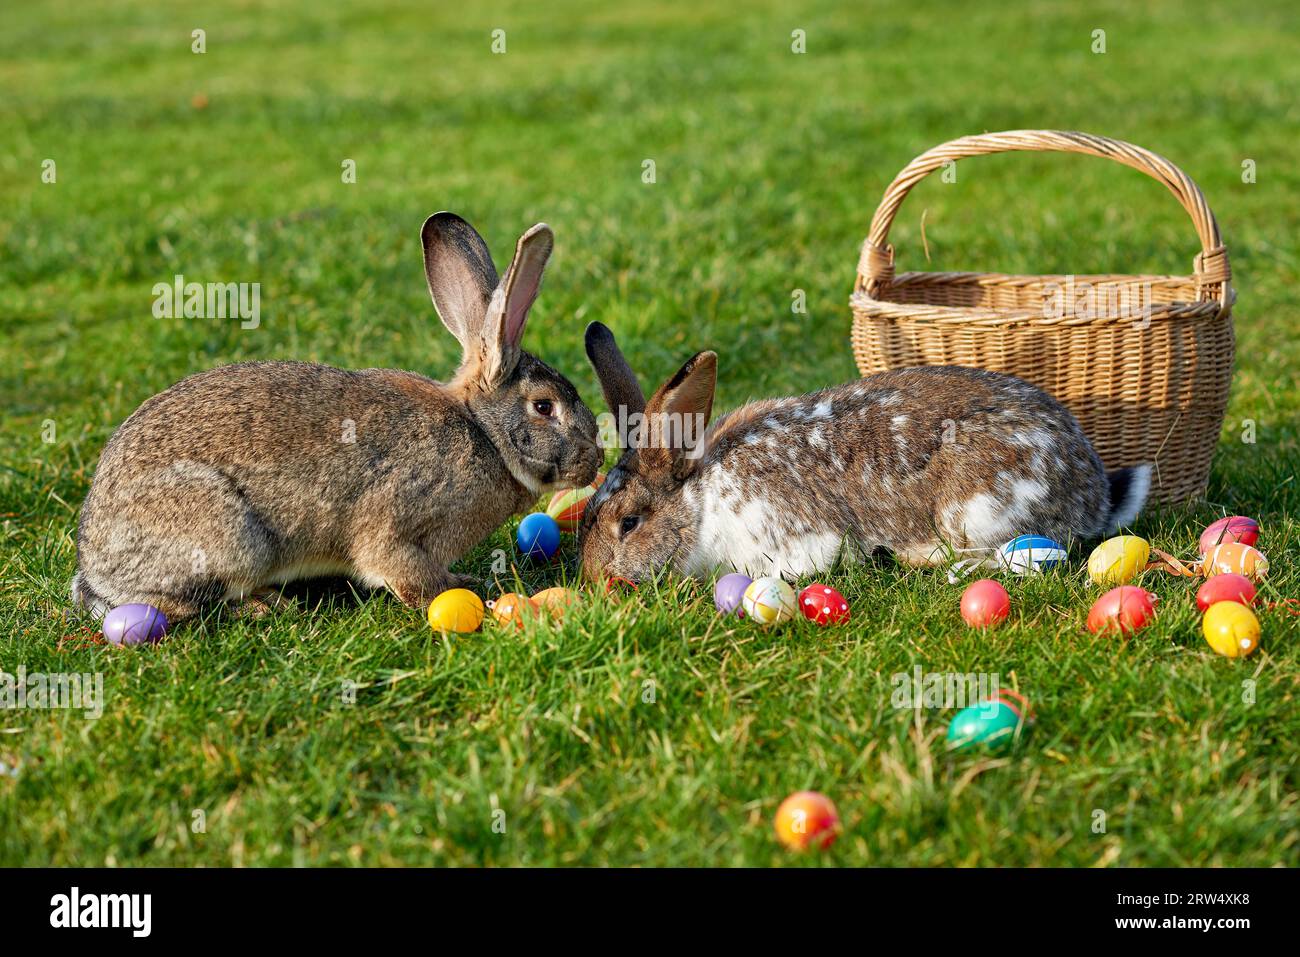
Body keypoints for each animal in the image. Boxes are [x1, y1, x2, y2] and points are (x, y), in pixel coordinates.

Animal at [71, 213, 602, 622]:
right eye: (544, 406)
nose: (595, 462)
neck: (483, 433)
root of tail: (95, 563)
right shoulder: (395, 525)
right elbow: (404, 573)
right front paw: (462, 592)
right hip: (230, 536)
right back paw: (264, 604)